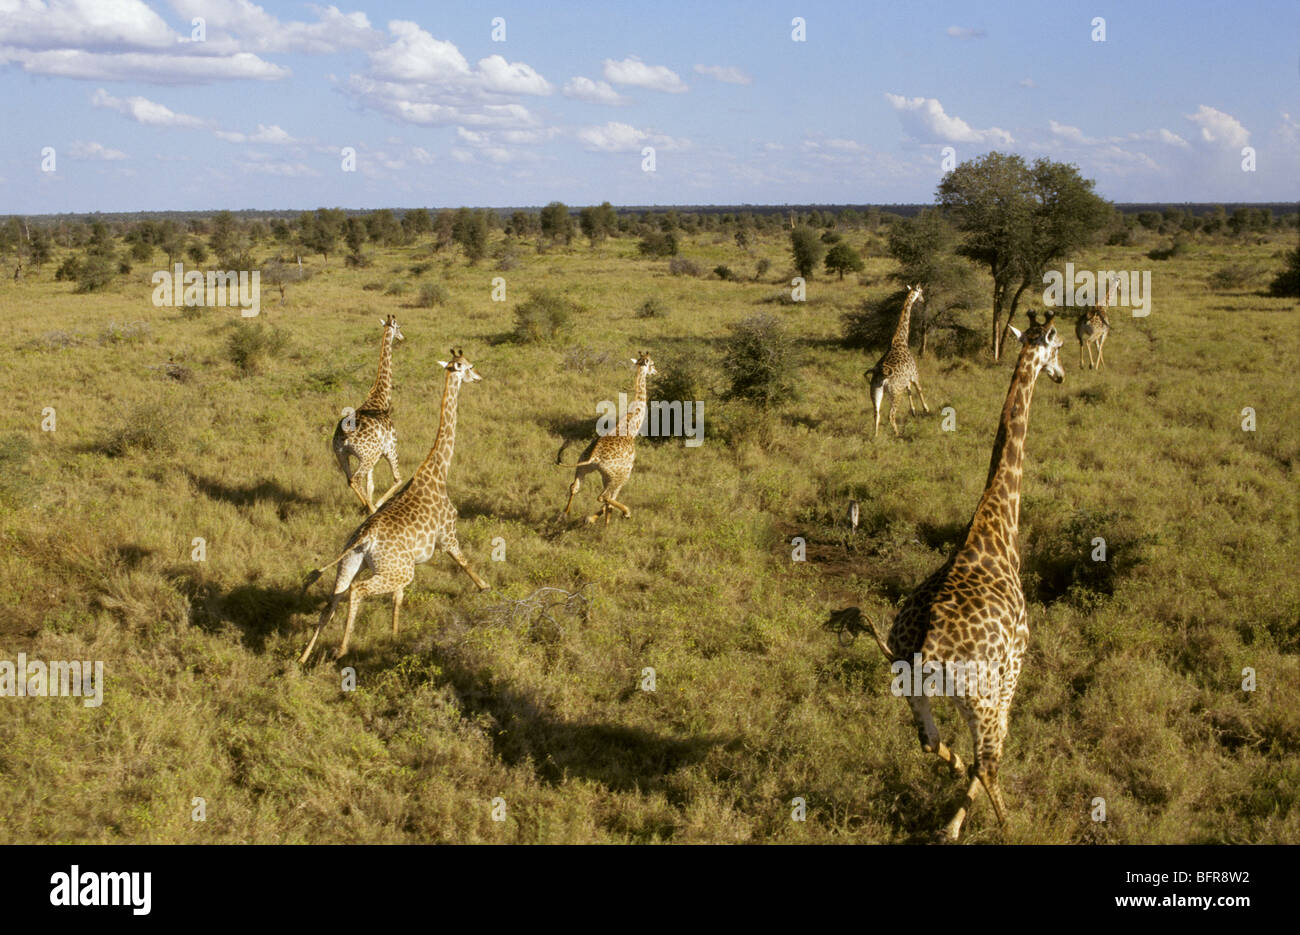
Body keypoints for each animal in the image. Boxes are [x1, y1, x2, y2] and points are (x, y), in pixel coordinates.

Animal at [300, 348, 489, 663]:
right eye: (468, 366)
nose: (479, 378)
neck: (439, 471)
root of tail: (364, 537)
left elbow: (398, 598)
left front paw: (395, 634)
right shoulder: (448, 536)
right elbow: (464, 563)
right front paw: (486, 588)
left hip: (352, 563)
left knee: (332, 601)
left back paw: (302, 658)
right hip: (393, 570)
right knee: (357, 590)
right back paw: (341, 649)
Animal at [332, 315, 404, 513]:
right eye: (399, 327)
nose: (402, 337)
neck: (380, 399)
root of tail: (345, 435)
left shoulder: (375, 456)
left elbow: (370, 485)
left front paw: (371, 502)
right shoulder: (390, 448)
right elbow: (398, 479)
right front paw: (378, 504)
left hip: (342, 455)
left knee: (350, 479)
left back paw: (367, 505)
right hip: (366, 457)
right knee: (356, 478)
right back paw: (372, 508)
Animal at [558, 351, 657, 525]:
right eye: (651, 364)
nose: (656, 372)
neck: (631, 428)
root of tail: (594, 457)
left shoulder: (606, 476)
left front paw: (598, 521)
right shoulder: (626, 471)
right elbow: (610, 500)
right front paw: (601, 521)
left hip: (584, 468)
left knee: (574, 487)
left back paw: (564, 516)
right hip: (617, 476)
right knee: (602, 496)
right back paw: (625, 512)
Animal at [831, 310, 1065, 841]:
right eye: (1057, 347)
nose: (1061, 375)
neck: (997, 525)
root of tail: (923, 649)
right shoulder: (1014, 667)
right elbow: (995, 754)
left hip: (914, 692)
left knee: (931, 742)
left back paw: (955, 789)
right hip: (980, 697)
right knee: (989, 762)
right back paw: (998, 827)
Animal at [866, 284, 930, 437]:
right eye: (921, 292)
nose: (923, 300)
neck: (901, 340)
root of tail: (882, 377)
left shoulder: (906, 379)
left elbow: (910, 390)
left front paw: (913, 411)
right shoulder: (914, 374)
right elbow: (918, 389)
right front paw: (926, 409)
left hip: (875, 391)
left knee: (876, 413)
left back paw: (875, 436)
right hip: (895, 393)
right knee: (891, 415)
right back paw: (897, 434)